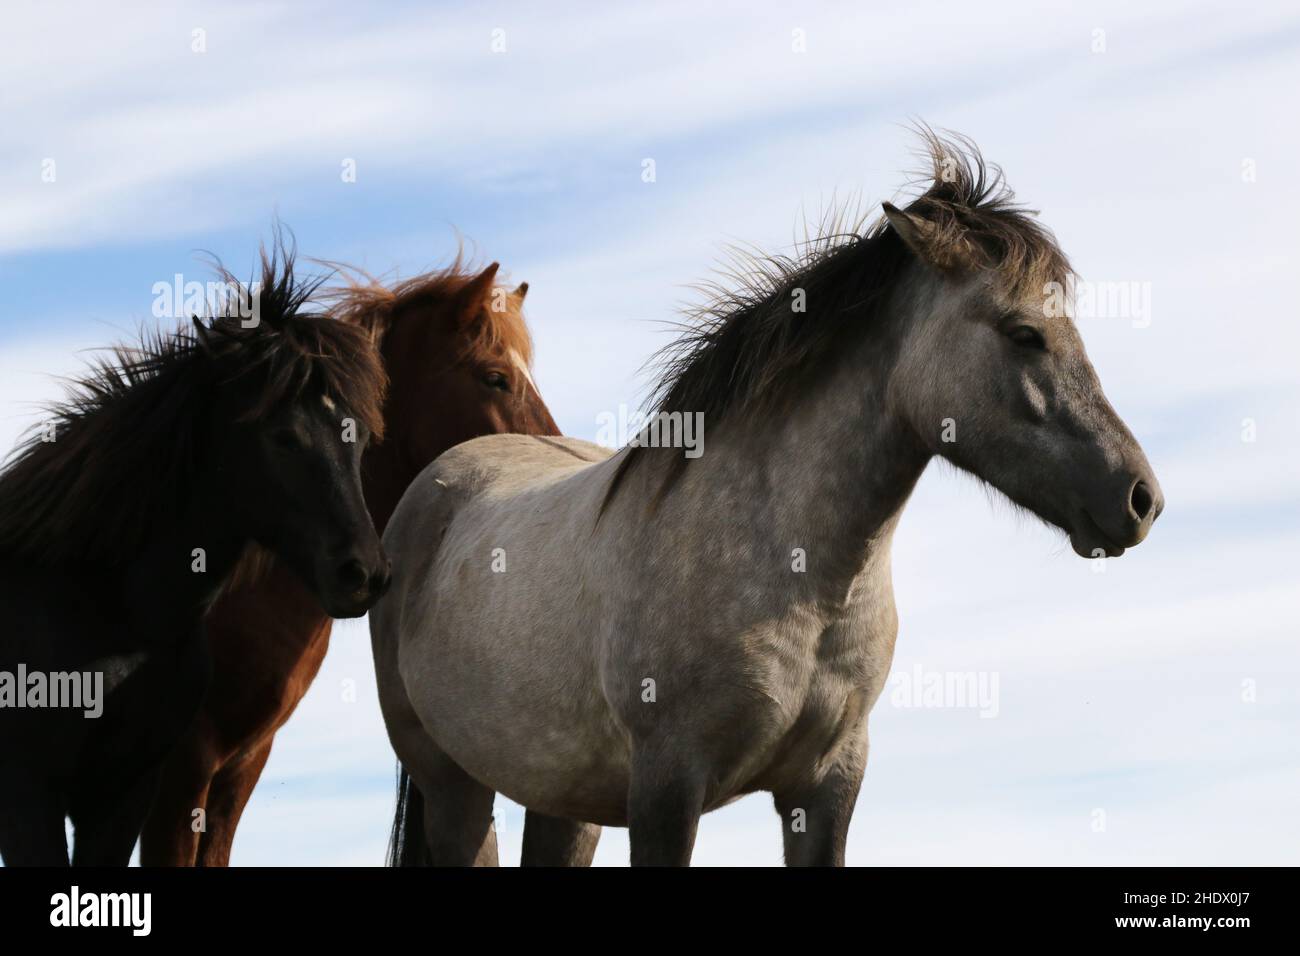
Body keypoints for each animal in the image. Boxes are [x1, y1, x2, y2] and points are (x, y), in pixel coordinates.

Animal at [373, 131, 1165, 866]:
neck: (801, 577)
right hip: (455, 786)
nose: (1140, 498)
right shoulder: (667, 788)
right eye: (1024, 332)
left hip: (562, 798)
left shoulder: (828, 784)